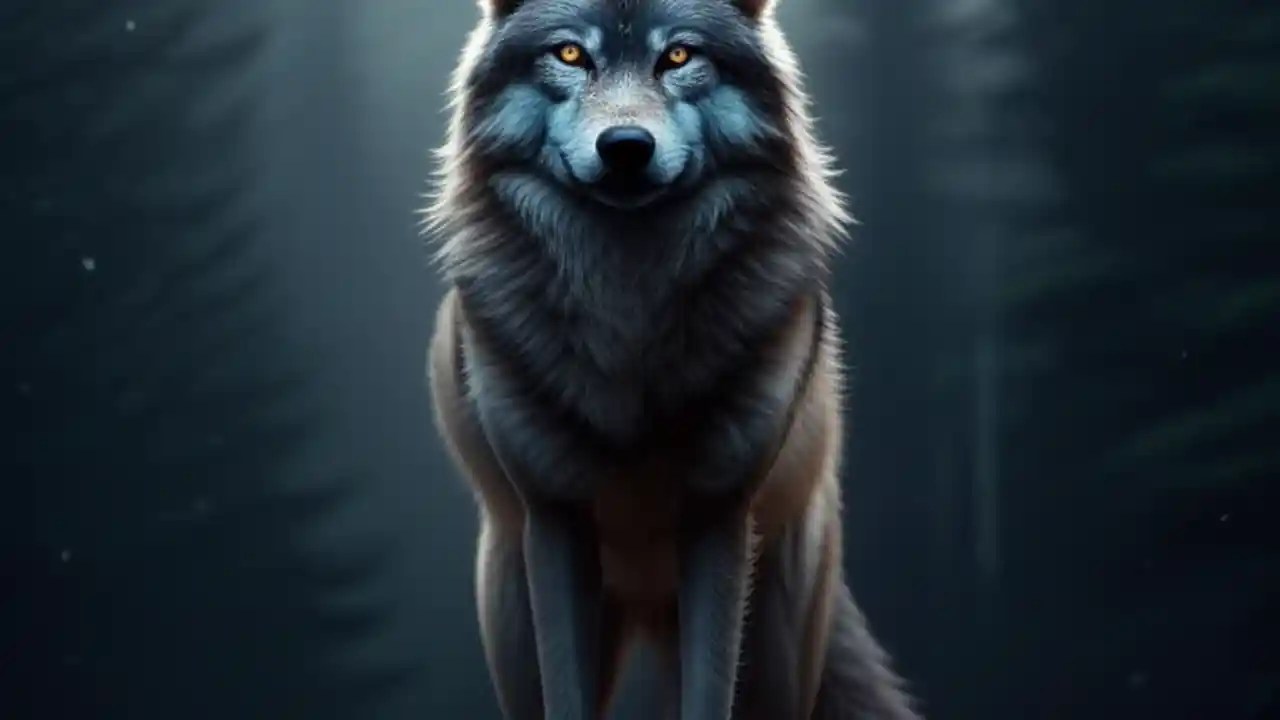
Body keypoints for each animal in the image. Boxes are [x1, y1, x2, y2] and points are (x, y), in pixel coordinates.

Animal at [425, 0, 922, 718]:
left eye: (679, 56)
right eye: (571, 55)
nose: (626, 146)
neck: (627, 317)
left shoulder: (718, 517)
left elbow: (710, 689)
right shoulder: (554, 518)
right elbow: (566, 690)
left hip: (779, 641)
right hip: (509, 599)